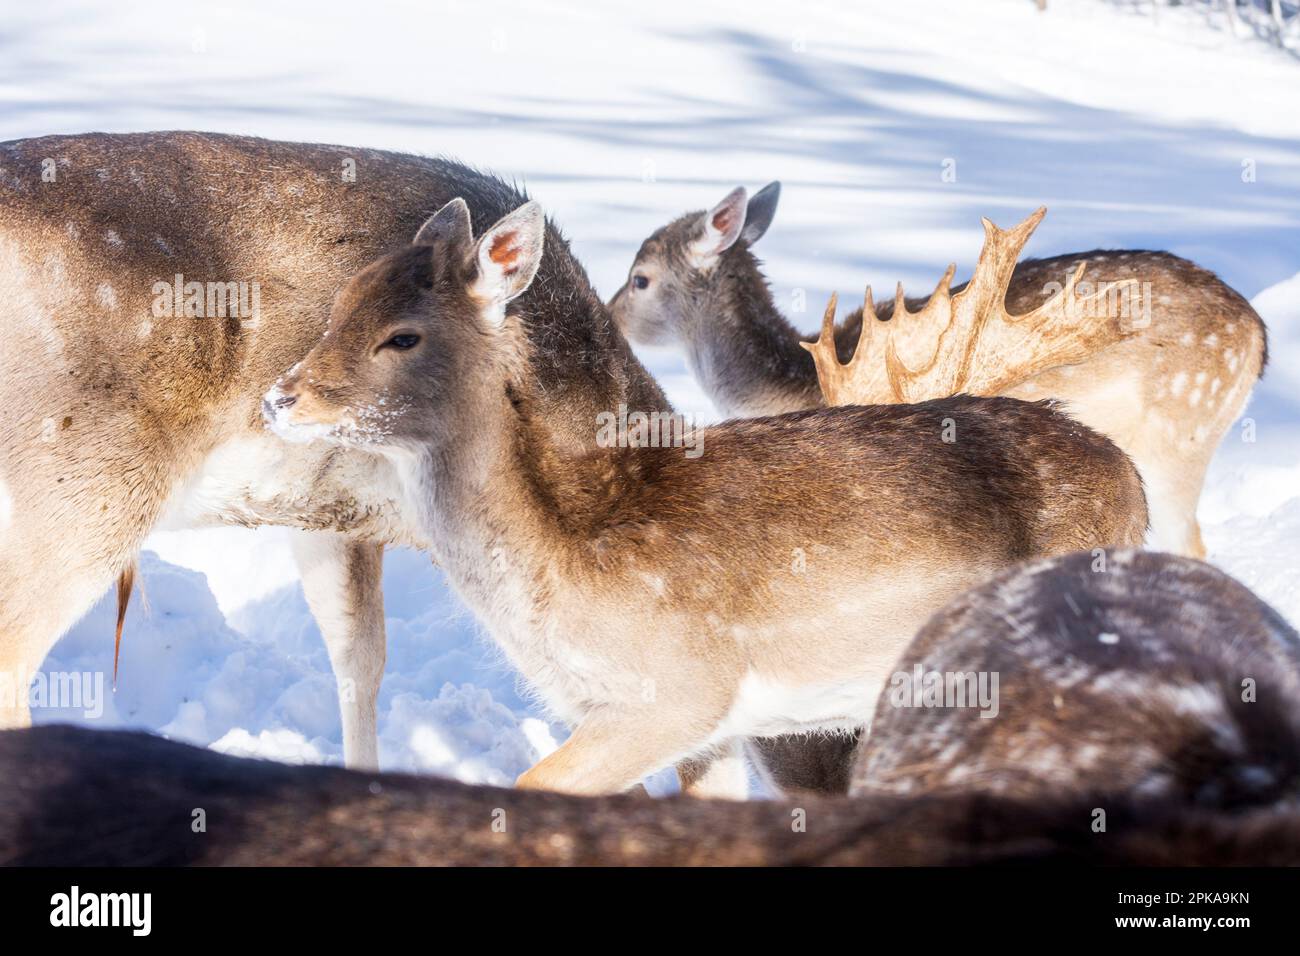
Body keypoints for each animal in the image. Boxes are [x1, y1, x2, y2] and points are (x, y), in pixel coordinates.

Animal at [262, 193, 1149, 797]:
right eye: (340, 303)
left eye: (402, 335)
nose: (279, 398)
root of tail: (1132, 485)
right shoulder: (709, 734)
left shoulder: (680, 690)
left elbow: (531, 786)